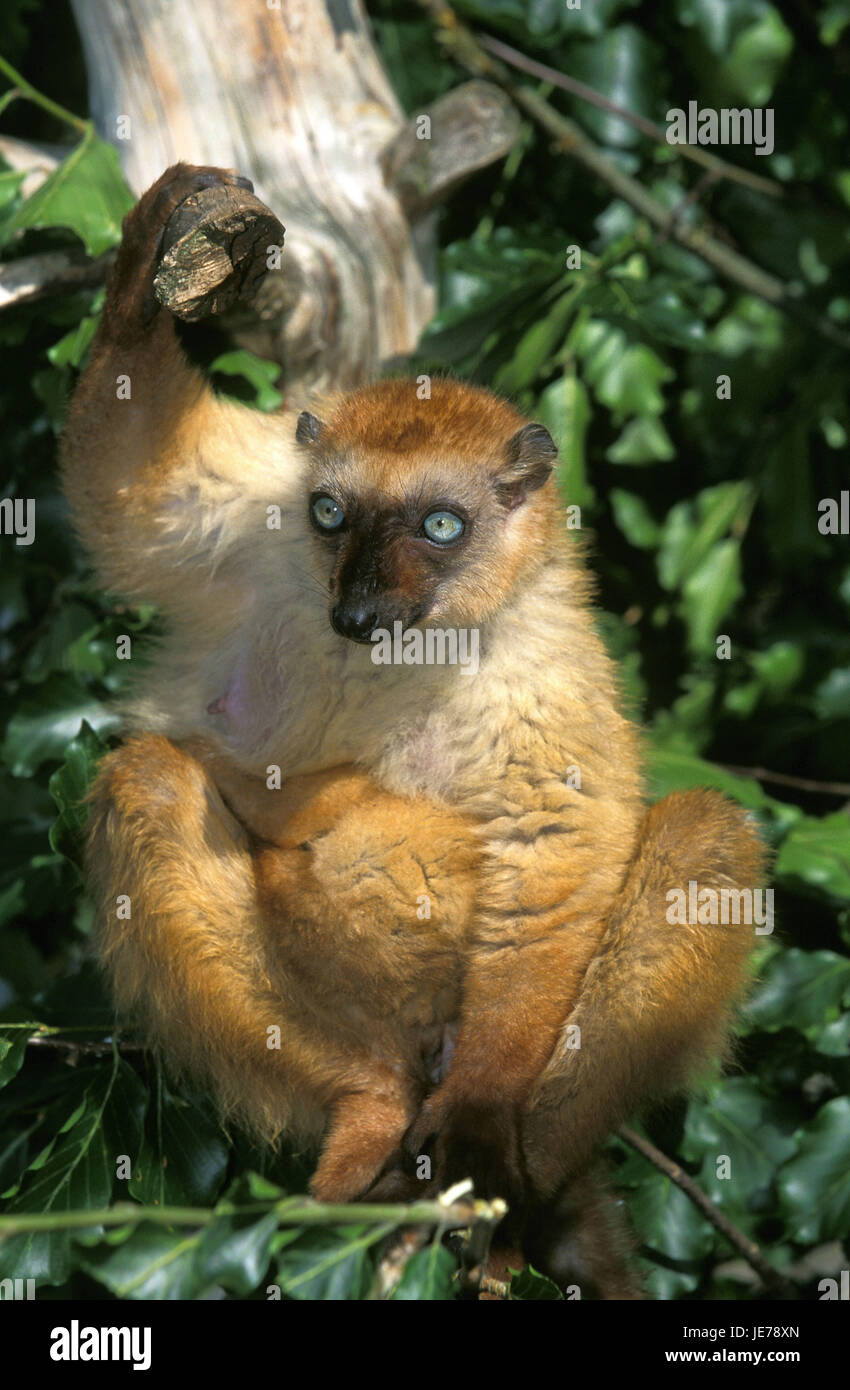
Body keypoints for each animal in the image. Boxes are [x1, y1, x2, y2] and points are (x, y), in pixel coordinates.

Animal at [61, 165, 766, 1296]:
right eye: (333, 514)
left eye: (441, 526)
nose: (354, 610)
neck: (402, 644)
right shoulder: (258, 521)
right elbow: (141, 503)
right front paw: (148, 263)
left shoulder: (543, 671)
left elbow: (551, 854)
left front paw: (479, 1125)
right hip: (337, 1029)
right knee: (154, 785)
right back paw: (372, 1125)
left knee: (707, 836)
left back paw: (507, 1204)